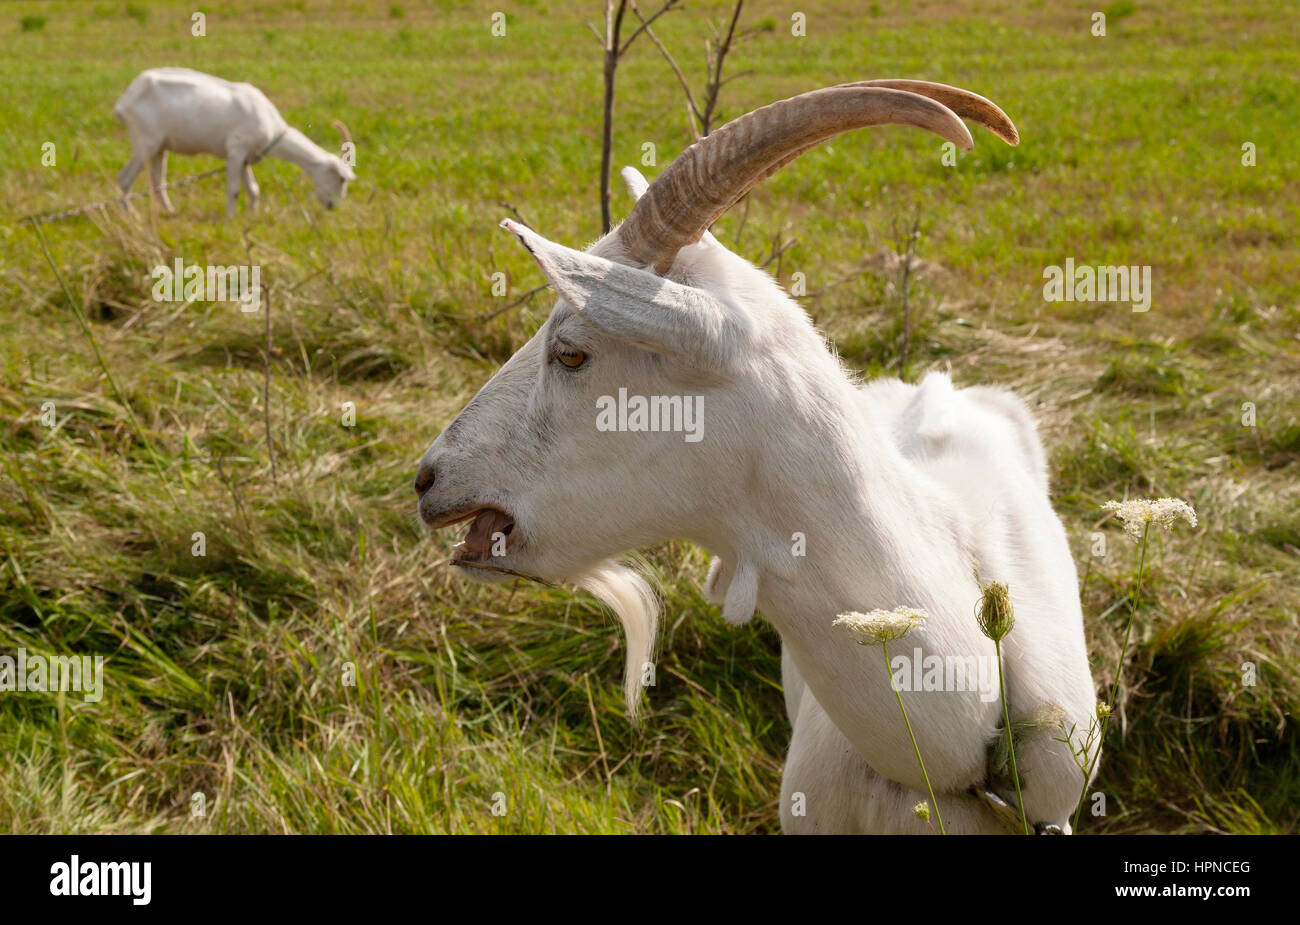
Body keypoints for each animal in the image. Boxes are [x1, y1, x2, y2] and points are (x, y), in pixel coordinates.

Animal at [113, 67, 355, 216]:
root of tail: (124, 101)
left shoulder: (246, 158)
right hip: (145, 141)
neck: (270, 124)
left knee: (157, 181)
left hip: (160, 147)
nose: (333, 206)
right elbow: (234, 190)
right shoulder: (235, 151)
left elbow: (254, 189)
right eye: (342, 179)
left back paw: (171, 212)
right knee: (124, 179)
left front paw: (252, 216)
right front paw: (229, 220)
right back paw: (131, 215)